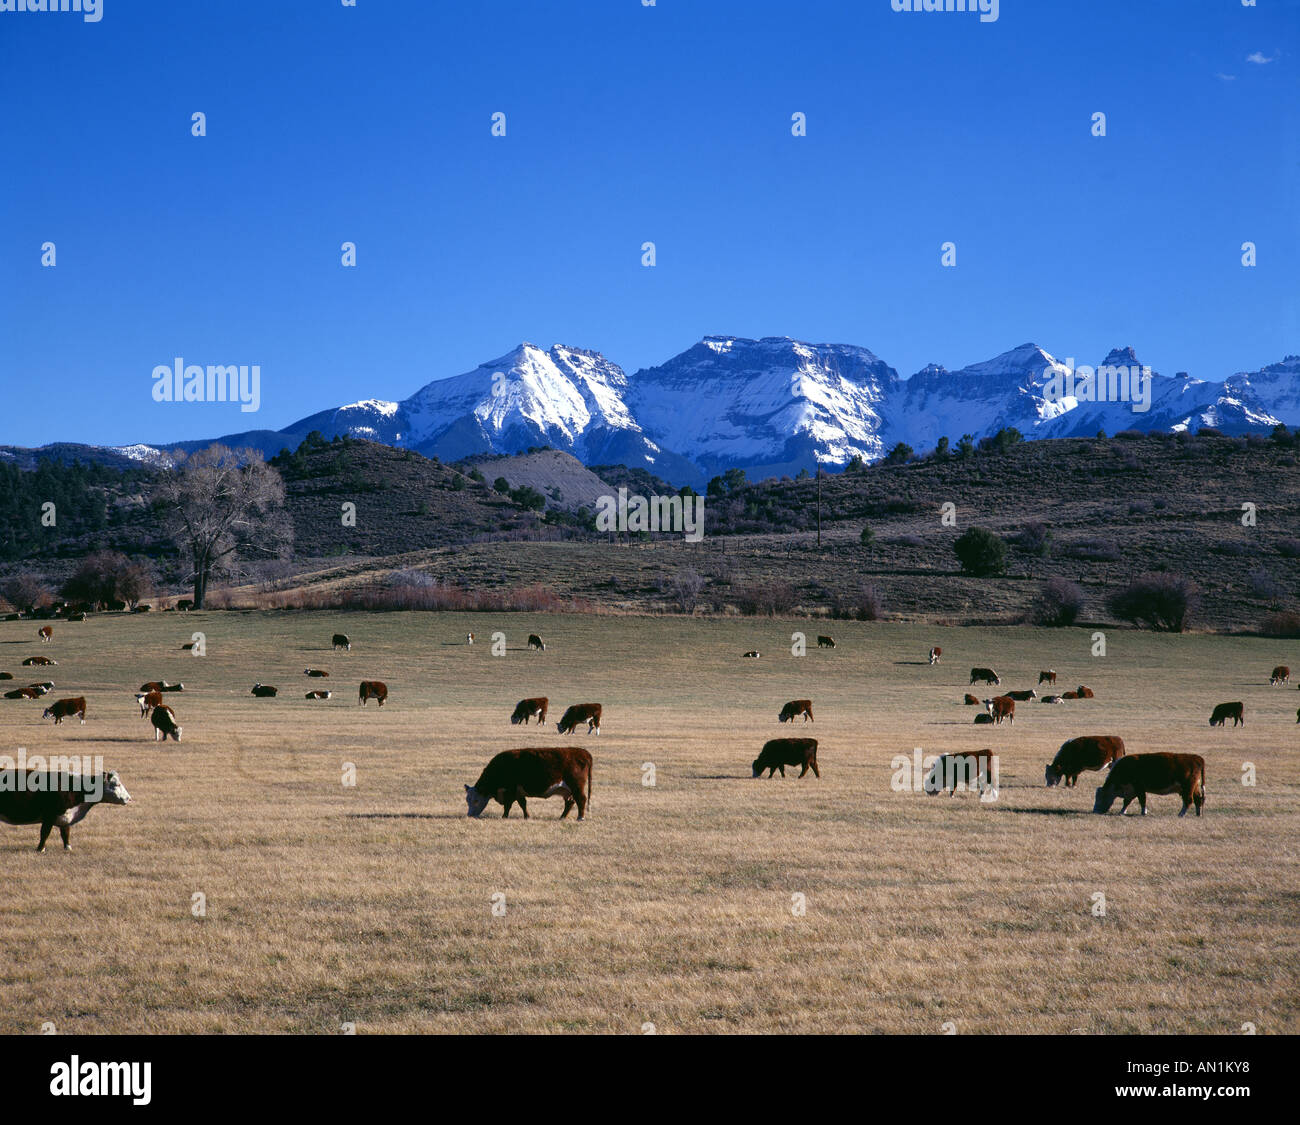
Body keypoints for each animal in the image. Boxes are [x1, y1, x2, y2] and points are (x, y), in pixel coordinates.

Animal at [0, 769, 132, 852]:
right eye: (116, 784)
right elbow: (45, 833)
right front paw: (40, 849)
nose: (129, 798)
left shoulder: (65, 817)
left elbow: (66, 833)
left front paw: (68, 848)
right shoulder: (49, 816)